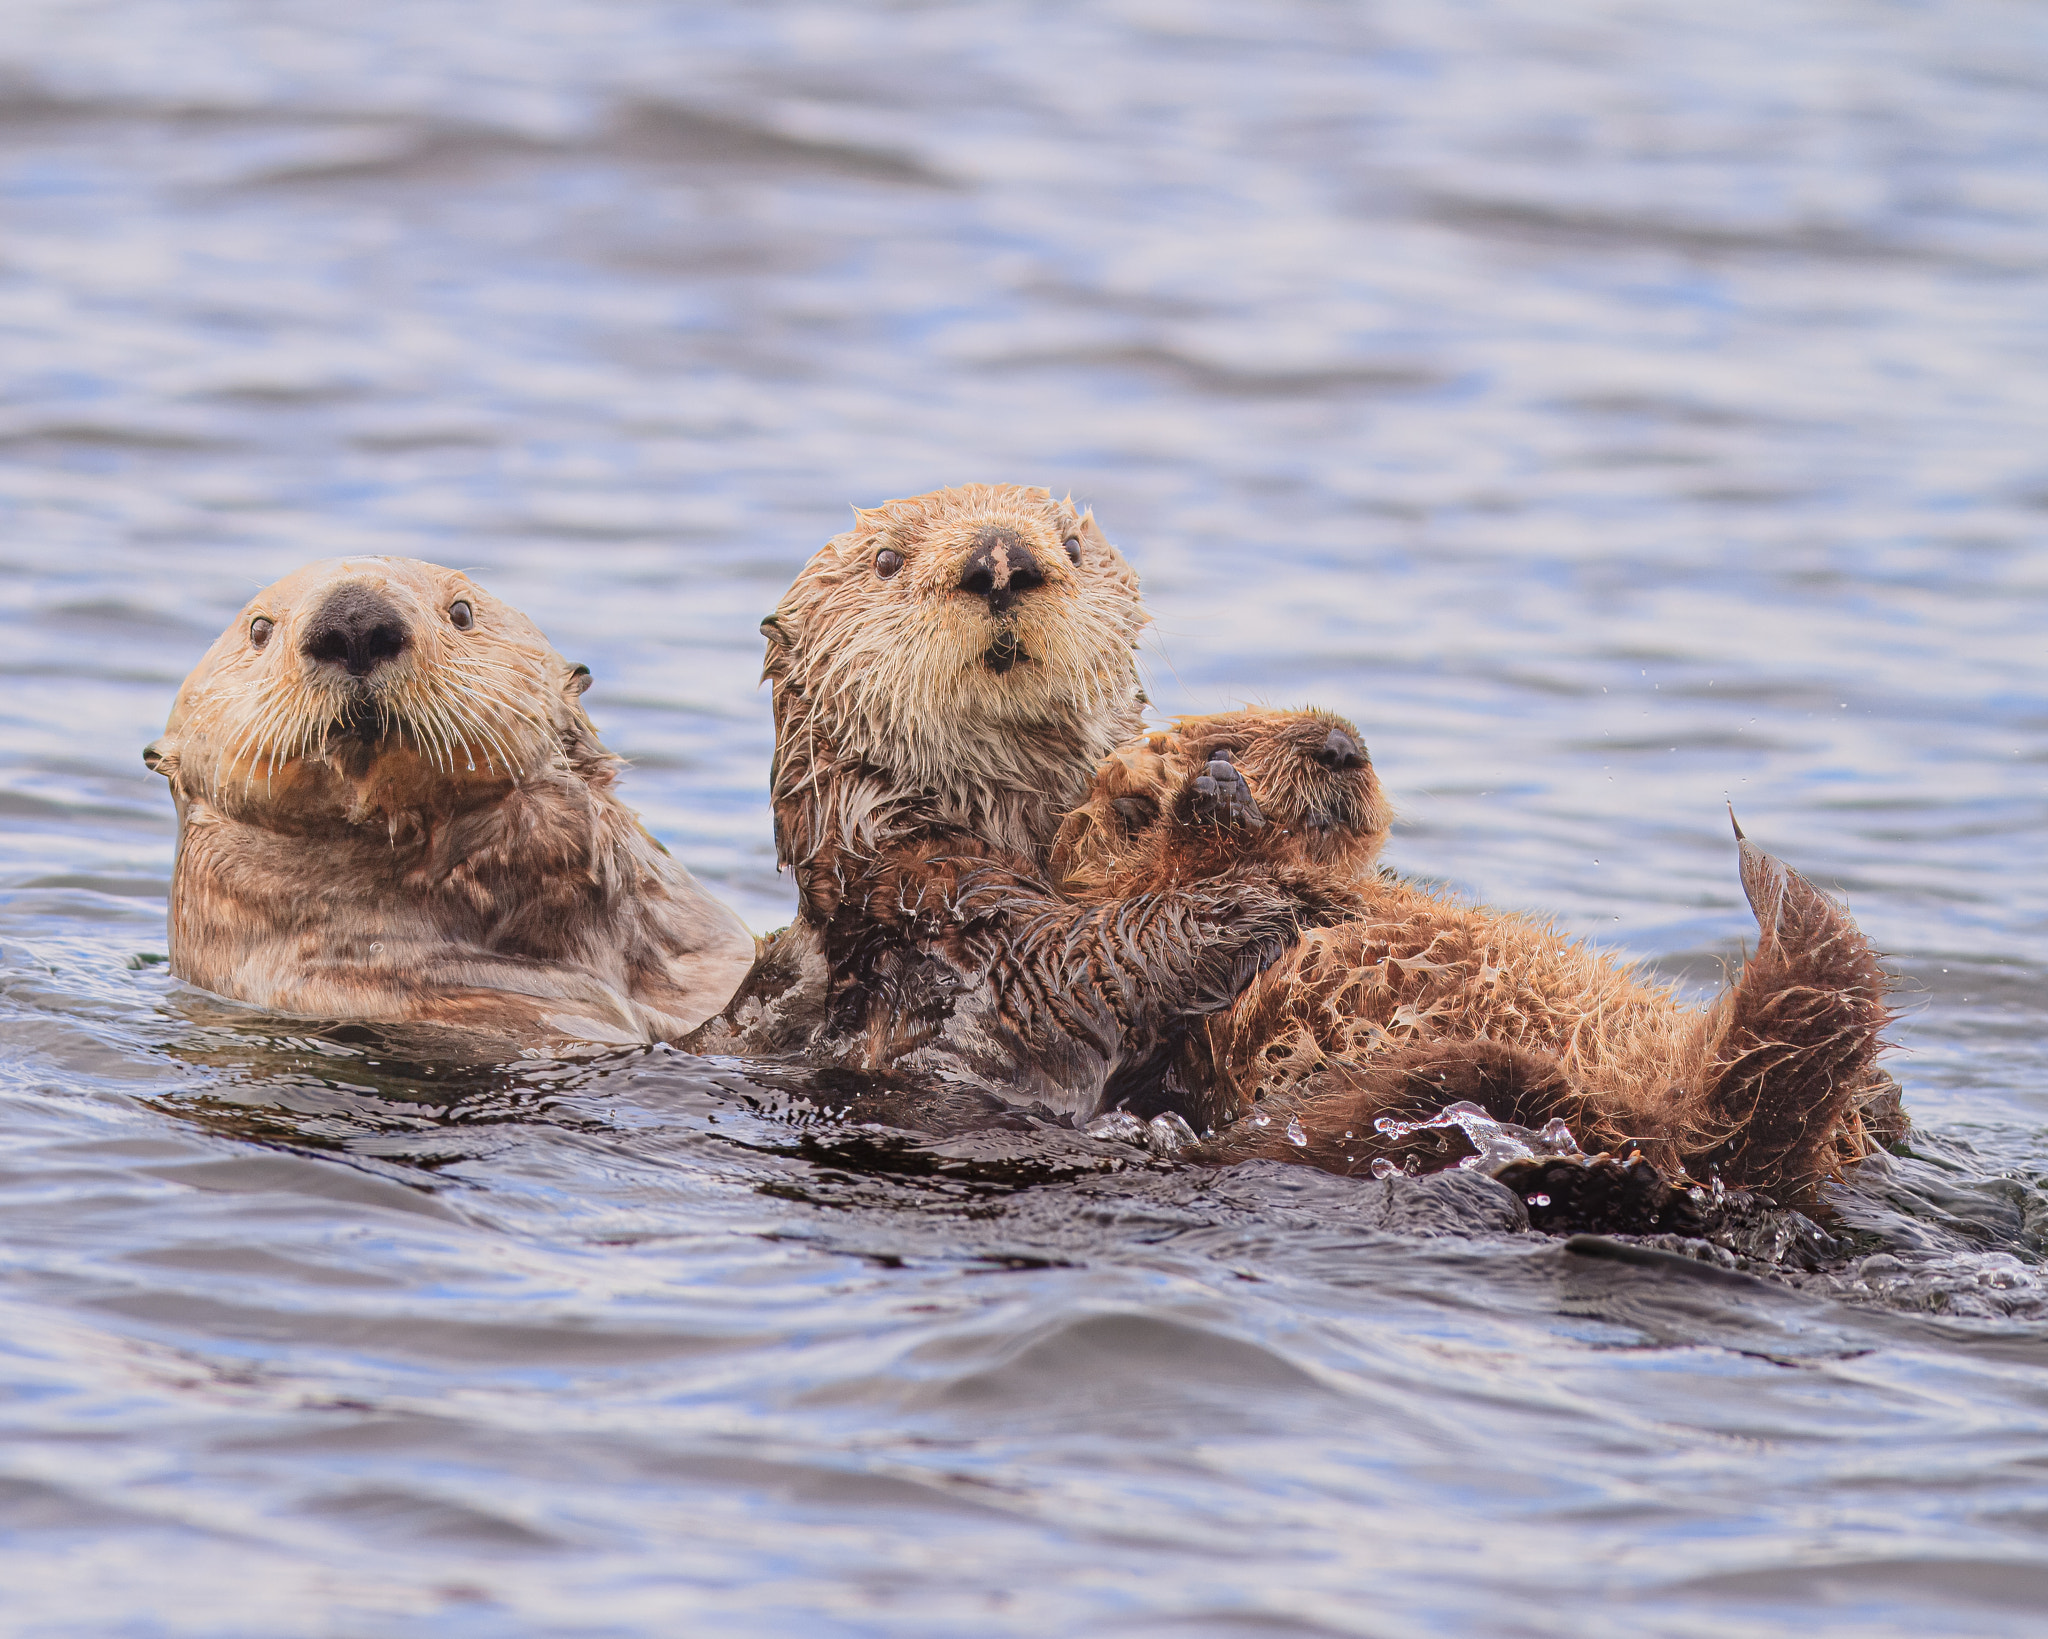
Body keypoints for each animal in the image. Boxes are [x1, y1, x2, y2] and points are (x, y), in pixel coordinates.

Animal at [687, 486, 1361, 1122]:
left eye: (1073, 546)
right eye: (885, 559)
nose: (1001, 559)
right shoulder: (939, 931)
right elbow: (1060, 987)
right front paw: (1266, 876)